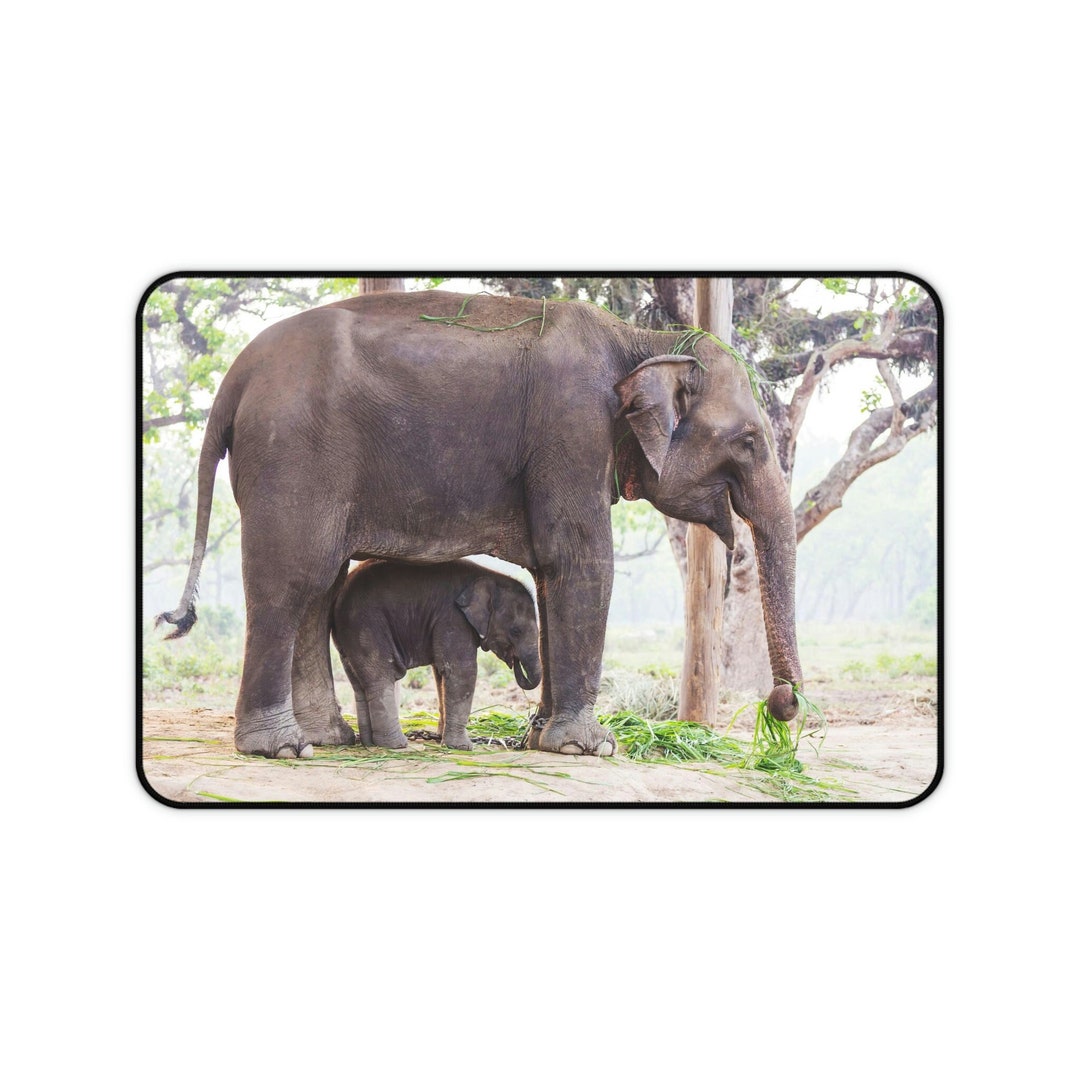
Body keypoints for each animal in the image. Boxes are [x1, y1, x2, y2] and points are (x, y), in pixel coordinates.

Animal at [330, 558, 541, 751]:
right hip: (366, 626)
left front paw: (441, 738)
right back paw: (396, 745)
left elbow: (440, 673)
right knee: (381, 676)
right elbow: (461, 671)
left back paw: (369, 743)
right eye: (516, 631)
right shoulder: (452, 618)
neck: (490, 576)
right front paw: (462, 747)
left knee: (358, 684)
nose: (514, 661)